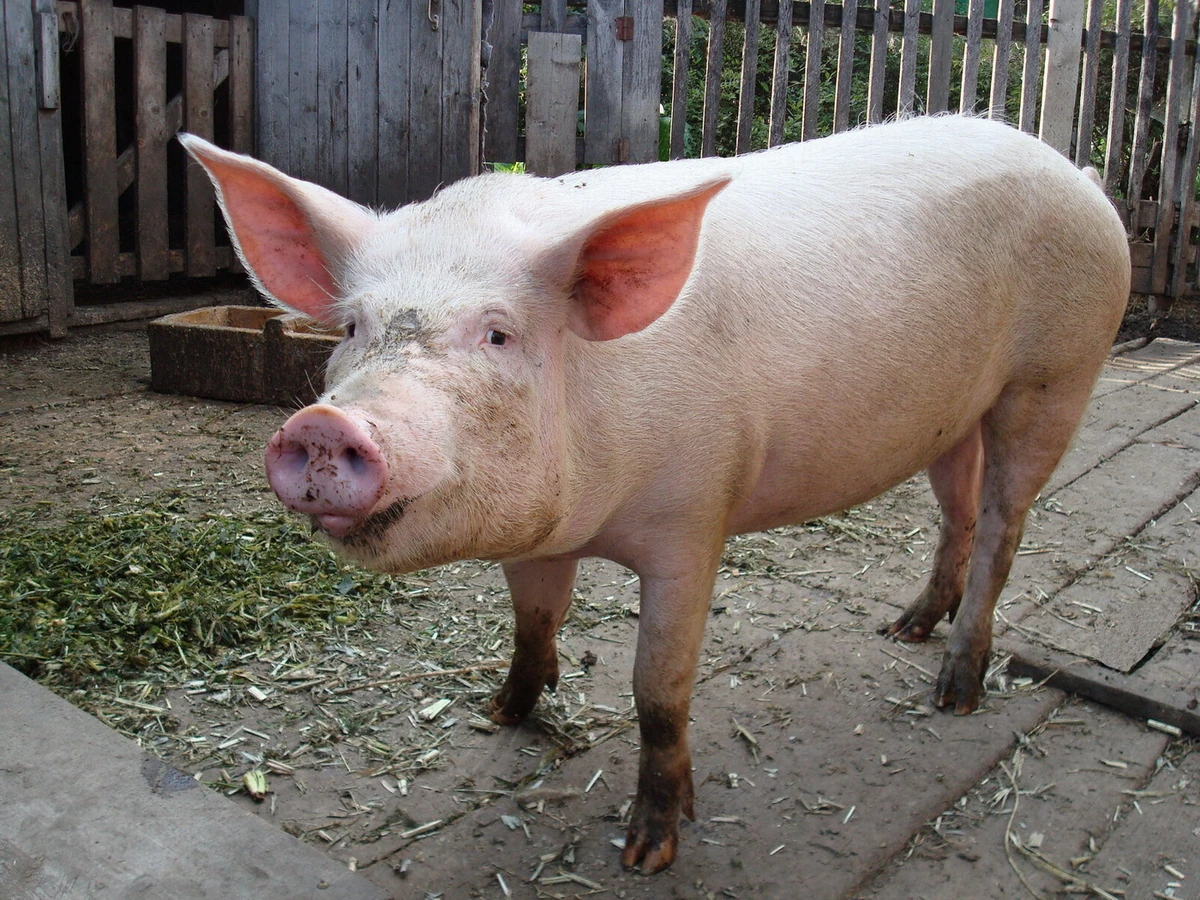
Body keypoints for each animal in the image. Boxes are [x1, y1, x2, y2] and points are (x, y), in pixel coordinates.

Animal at [179, 115, 1130, 874]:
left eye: (498, 334)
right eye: (352, 327)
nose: (324, 425)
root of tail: (1078, 174)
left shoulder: (693, 522)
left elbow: (658, 689)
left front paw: (647, 853)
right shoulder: (539, 533)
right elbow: (534, 620)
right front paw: (501, 714)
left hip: (1056, 375)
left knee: (1006, 523)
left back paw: (955, 691)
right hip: (955, 414)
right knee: (958, 512)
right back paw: (904, 627)